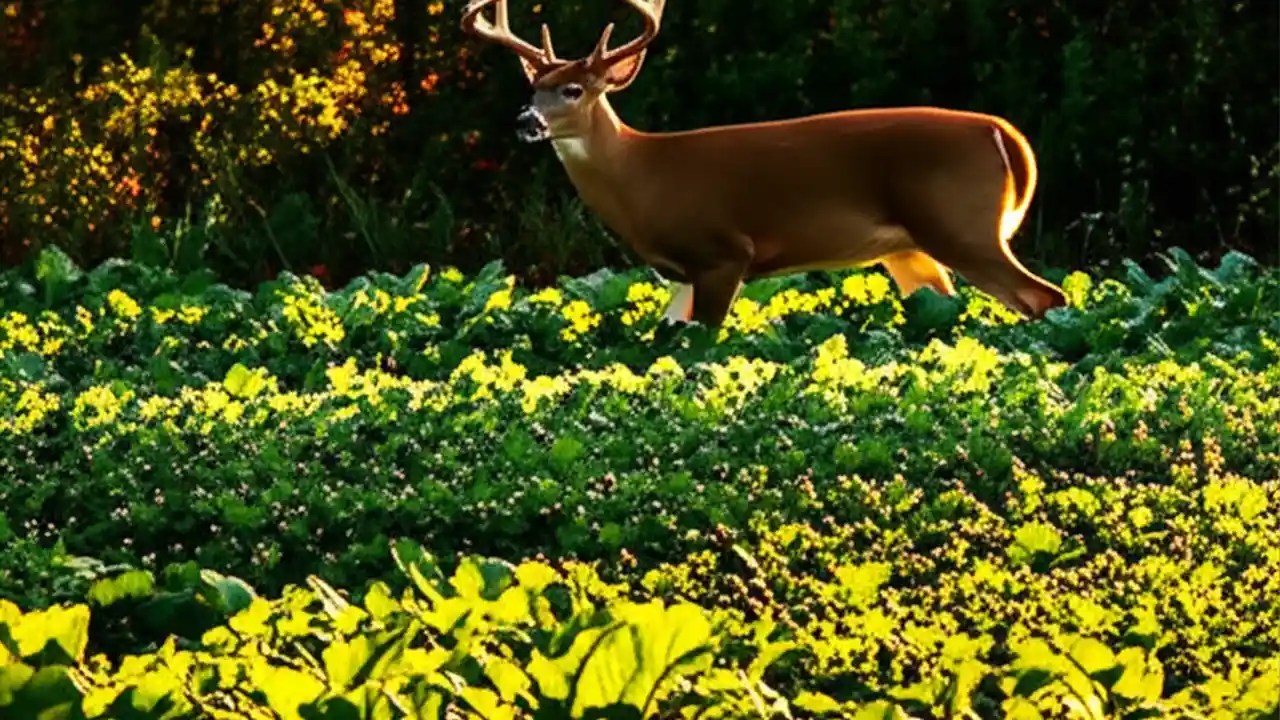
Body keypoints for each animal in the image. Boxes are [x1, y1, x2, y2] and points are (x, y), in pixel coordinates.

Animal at [460, 0, 1067, 329]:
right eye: (533, 87)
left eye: (574, 89)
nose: (526, 120)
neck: (640, 177)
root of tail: (1002, 133)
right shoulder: (681, 273)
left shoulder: (723, 251)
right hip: (910, 249)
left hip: (961, 224)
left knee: (1046, 297)